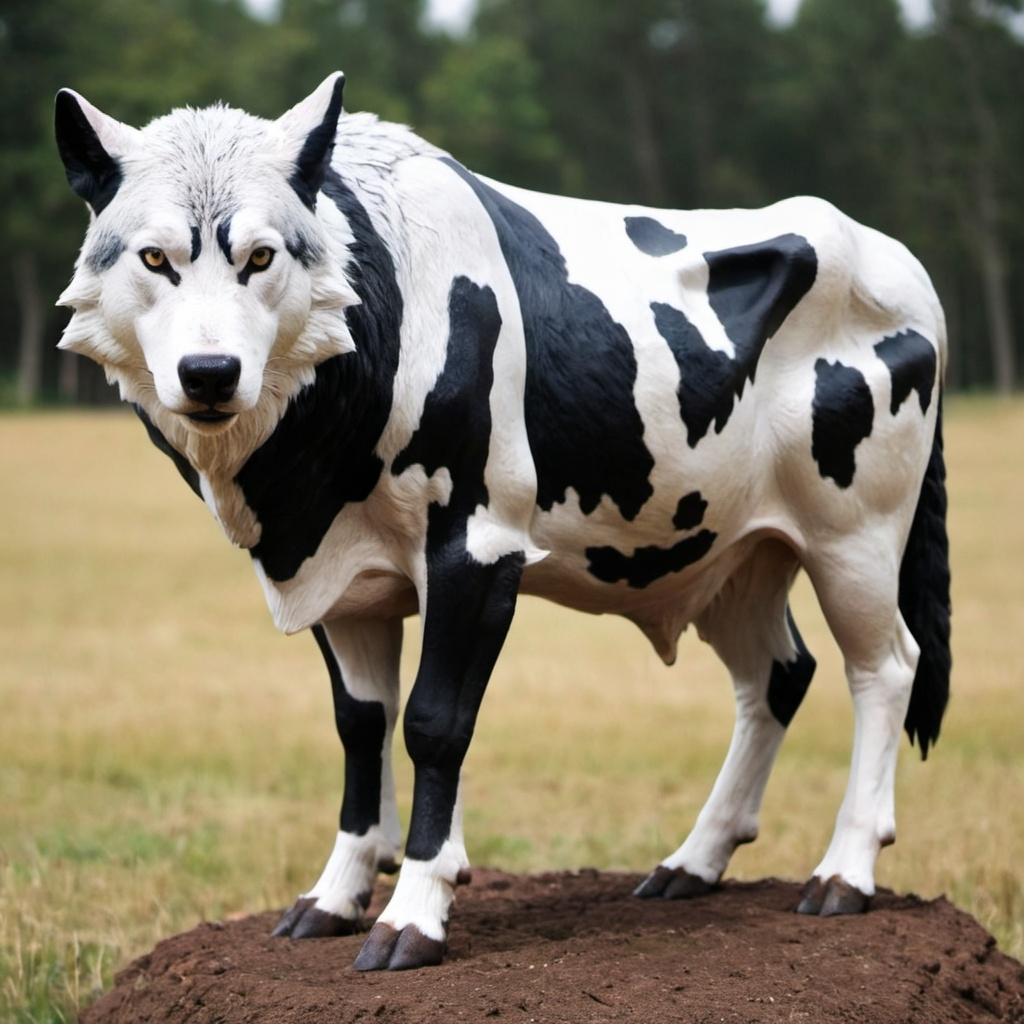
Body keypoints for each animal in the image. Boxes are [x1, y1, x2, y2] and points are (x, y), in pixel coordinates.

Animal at [54, 72, 950, 971]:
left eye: (262, 254)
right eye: (154, 256)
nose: (209, 372)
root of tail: (891, 251)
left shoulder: (477, 545)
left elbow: (434, 722)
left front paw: (413, 915)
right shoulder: (340, 575)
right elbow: (361, 726)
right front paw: (335, 896)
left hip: (858, 532)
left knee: (885, 668)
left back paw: (843, 872)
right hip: (734, 550)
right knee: (778, 674)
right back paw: (692, 861)